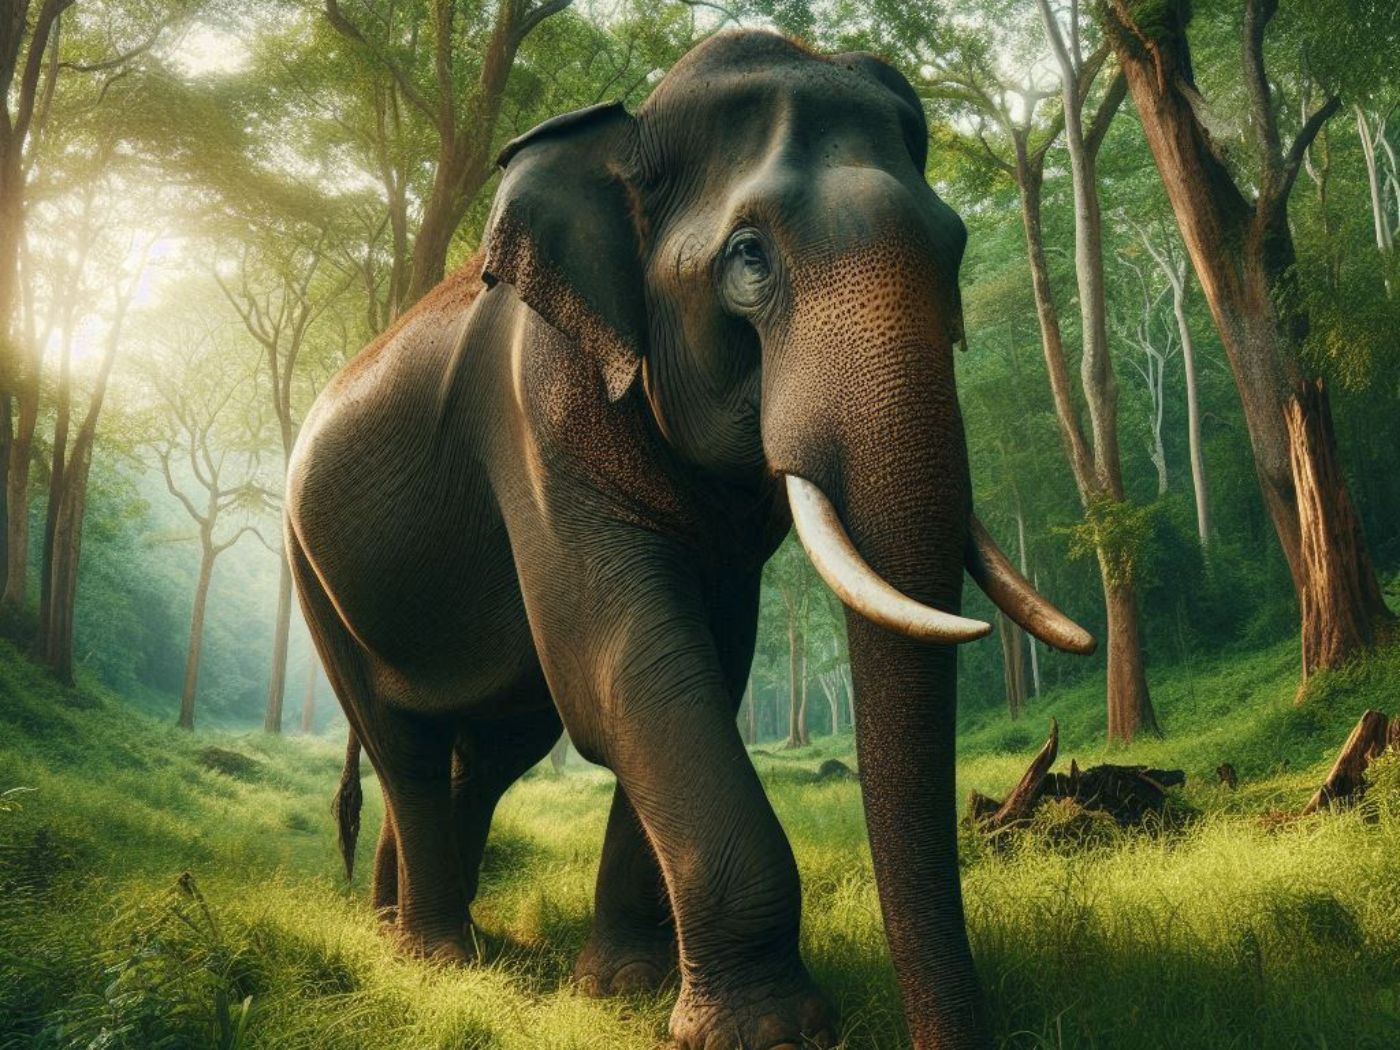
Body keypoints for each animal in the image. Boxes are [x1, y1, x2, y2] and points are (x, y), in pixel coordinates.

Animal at [286, 30, 1094, 1050]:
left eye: (952, 245)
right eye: (749, 258)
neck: (627, 142)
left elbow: (705, 663)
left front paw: (622, 988)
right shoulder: (535, 425)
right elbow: (627, 673)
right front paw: (768, 1030)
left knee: (490, 751)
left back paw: (424, 930)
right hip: (313, 577)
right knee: (410, 748)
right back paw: (435, 958)